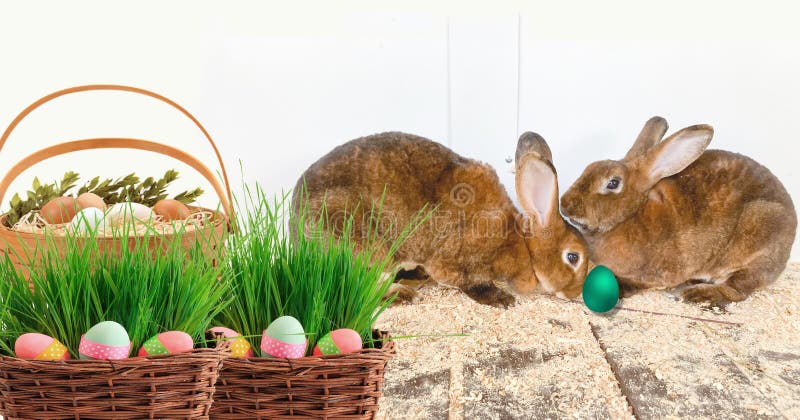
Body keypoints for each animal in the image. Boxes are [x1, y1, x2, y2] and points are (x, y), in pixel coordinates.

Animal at [292, 131, 589, 307]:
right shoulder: (457, 261)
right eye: (573, 257)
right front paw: (501, 298)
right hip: (360, 241)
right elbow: (469, 282)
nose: (576, 293)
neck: (523, 246)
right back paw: (402, 294)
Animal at [560, 116, 797, 305]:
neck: (633, 213)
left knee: (738, 289)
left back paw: (699, 293)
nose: (564, 205)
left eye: (613, 183)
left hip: (759, 240)